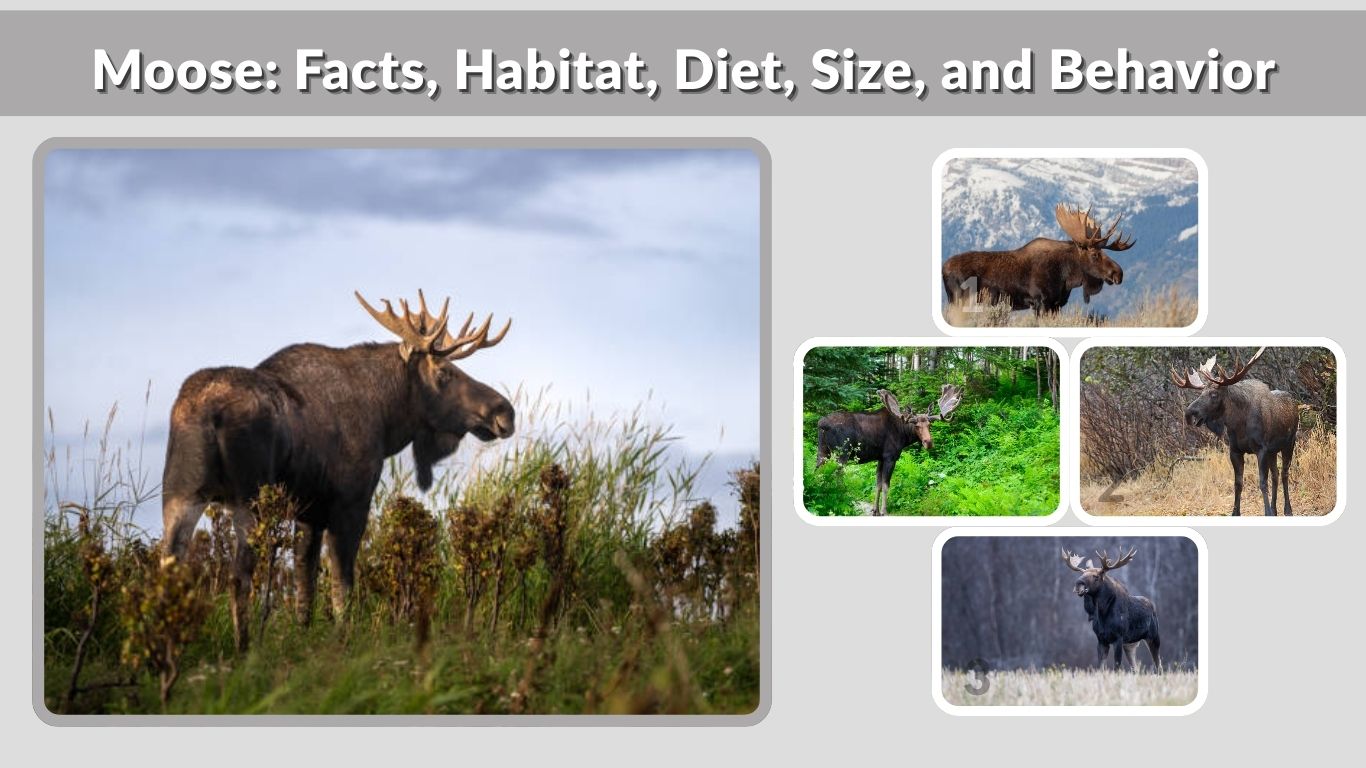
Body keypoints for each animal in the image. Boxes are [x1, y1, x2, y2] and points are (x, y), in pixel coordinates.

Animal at [814, 384, 963, 515]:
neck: (903, 435)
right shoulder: (890, 457)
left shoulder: (880, 458)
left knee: (817, 471)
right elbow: (886, 485)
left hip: (822, 451)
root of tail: (822, 424)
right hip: (842, 452)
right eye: (916, 426)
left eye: (929, 425)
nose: (929, 443)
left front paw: (875, 510)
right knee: (837, 475)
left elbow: (878, 484)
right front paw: (884, 511)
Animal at [1171, 347, 1299, 516]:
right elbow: (1238, 483)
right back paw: (1275, 508)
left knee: (1284, 473)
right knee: (1276, 475)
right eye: (1201, 393)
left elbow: (1262, 482)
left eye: (1214, 394)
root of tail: (1295, 402)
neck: (1239, 425)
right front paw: (1236, 512)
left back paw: (1287, 509)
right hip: (1273, 451)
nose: (1189, 412)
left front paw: (1267, 513)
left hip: (1289, 443)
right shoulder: (1235, 451)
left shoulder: (1261, 449)